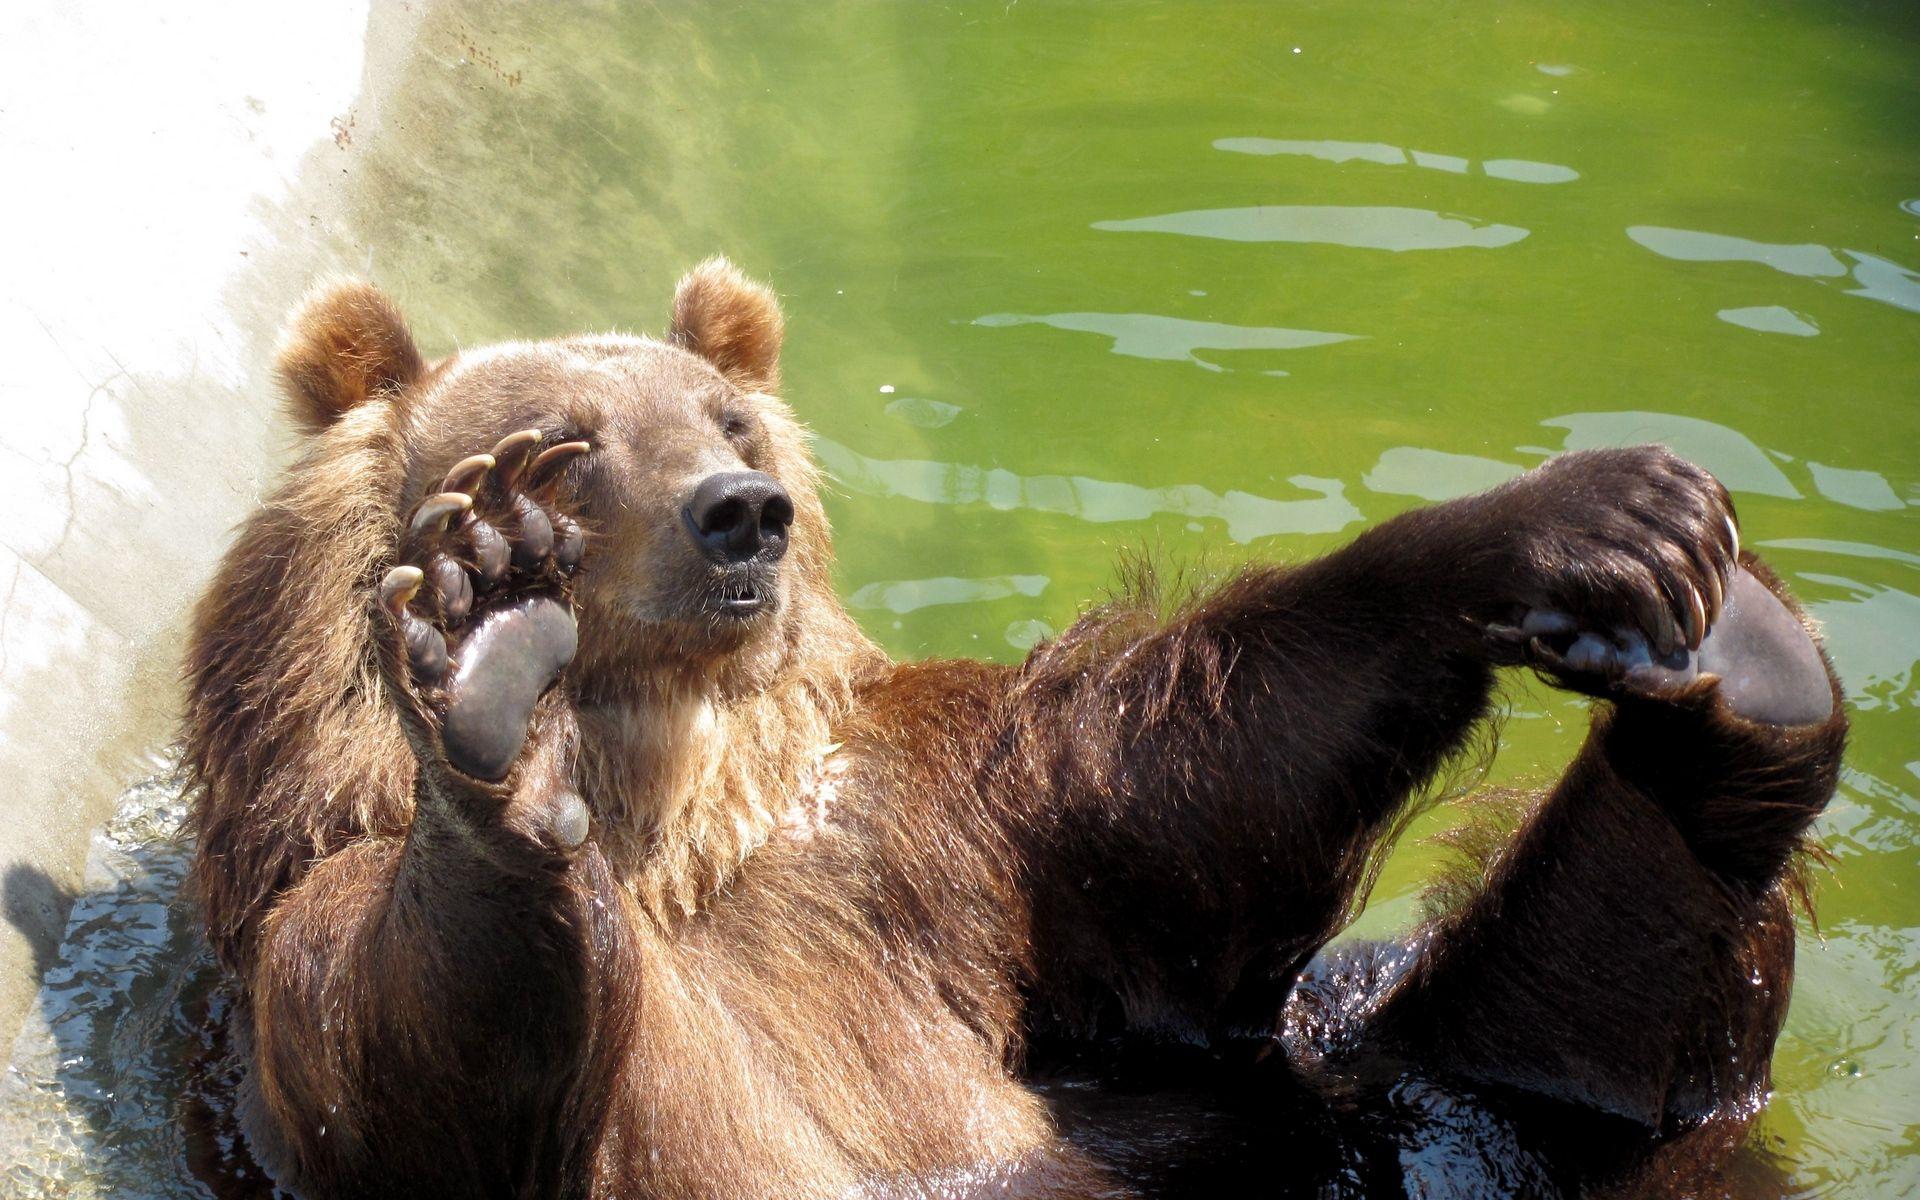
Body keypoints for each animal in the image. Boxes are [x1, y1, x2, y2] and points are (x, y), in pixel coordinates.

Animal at [181, 259, 1846, 1199]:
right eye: (569, 447)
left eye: (726, 419)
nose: (741, 513)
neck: (681, 814)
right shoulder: (308, 959)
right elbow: (414, 1038)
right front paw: (489, 666)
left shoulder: (927, 839)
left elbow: (1166, 802)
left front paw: (1581, 516)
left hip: (1357, 1096)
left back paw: (1743, 678)